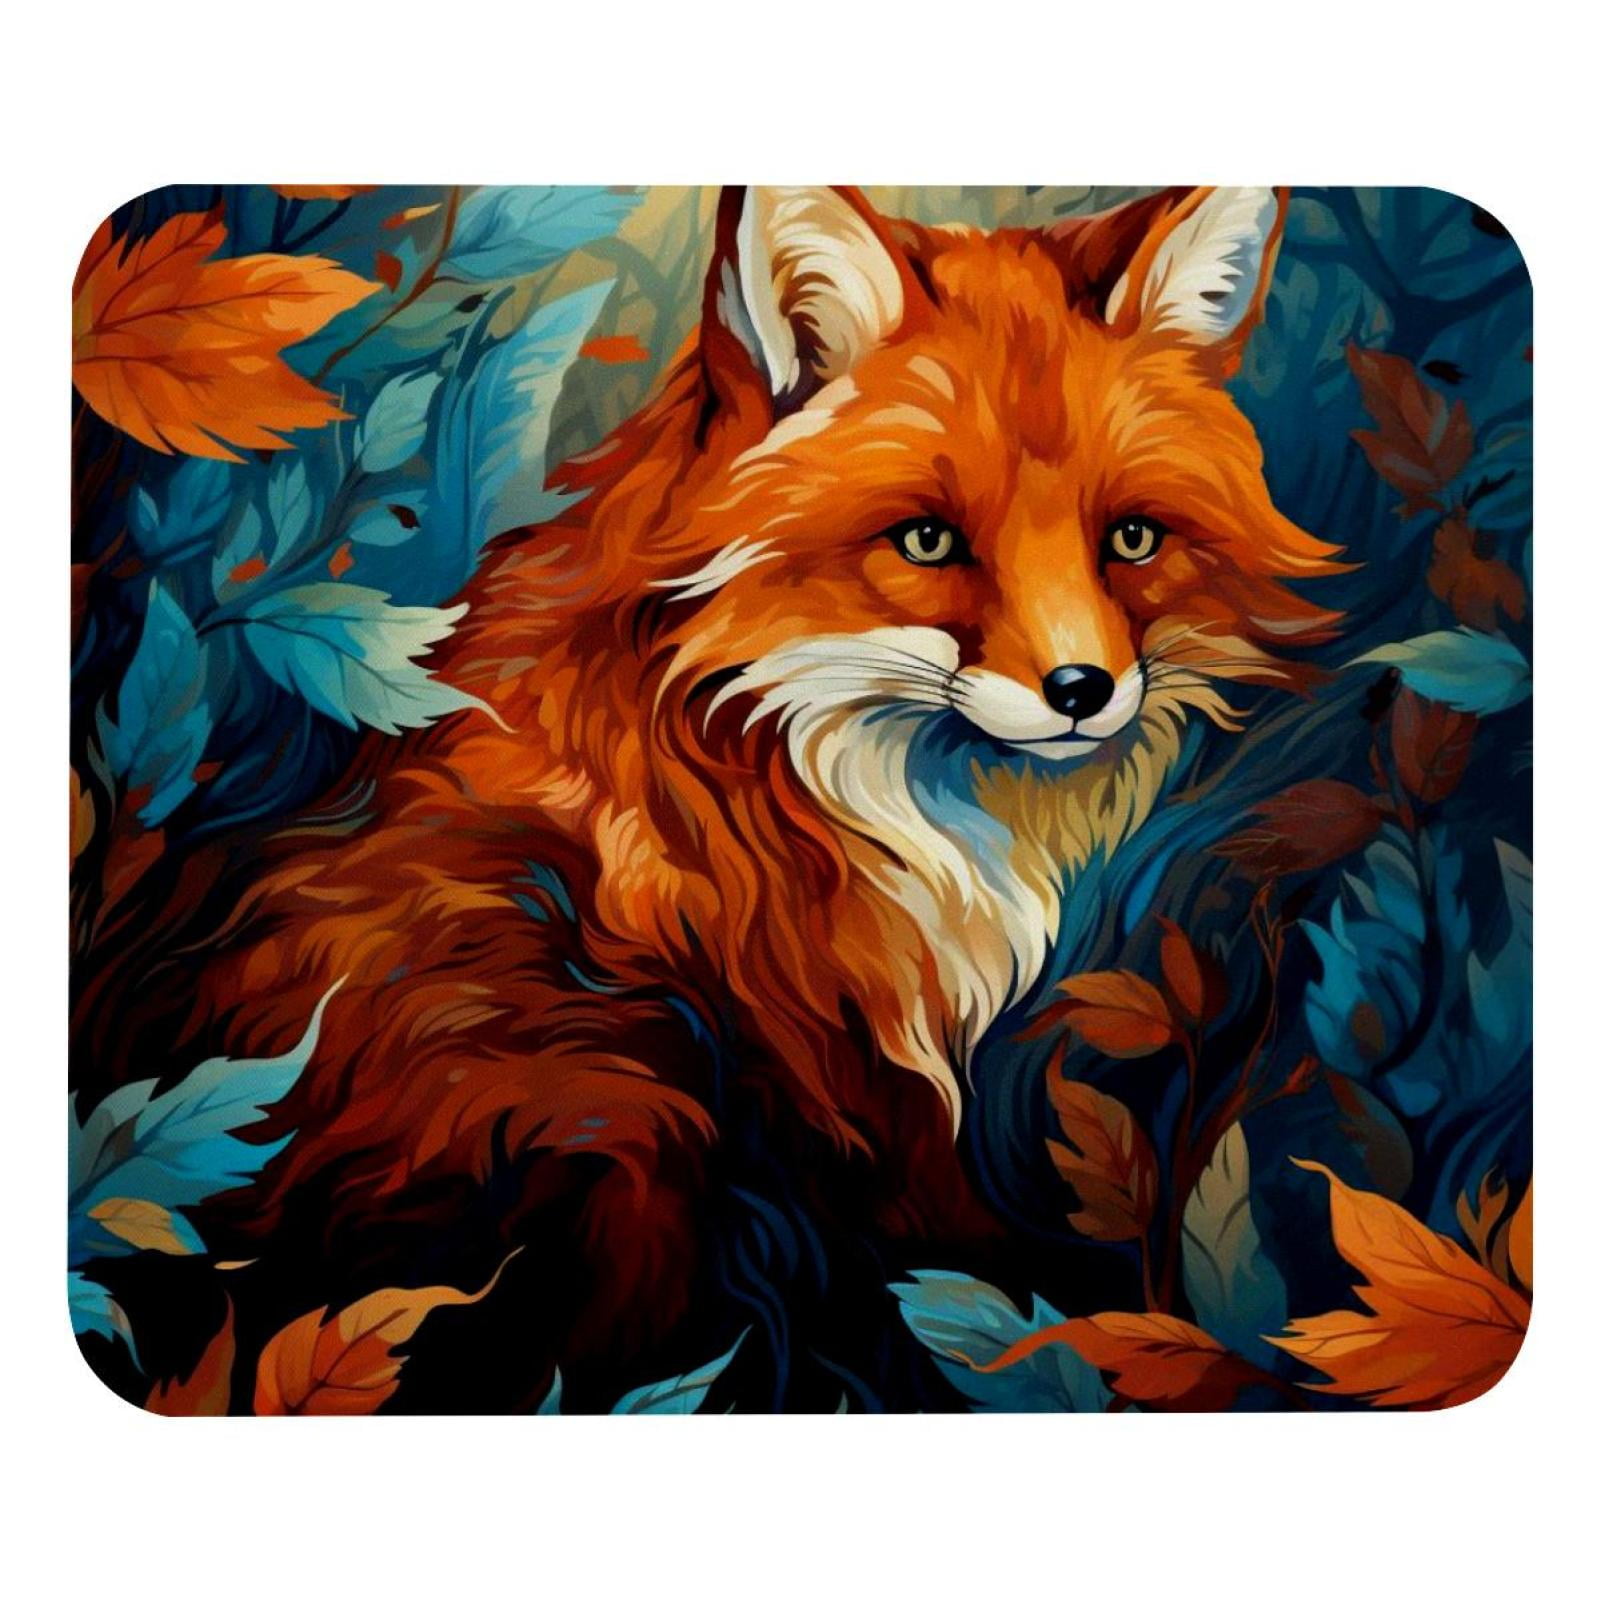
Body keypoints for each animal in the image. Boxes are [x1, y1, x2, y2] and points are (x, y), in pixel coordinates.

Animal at [75, 185, 1343, 1405]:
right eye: (926, 542)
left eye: (1128, 539)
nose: (1082, 690)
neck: (753, 751)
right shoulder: (847, 1093)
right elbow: (933, 1249)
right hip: (622, 1105)